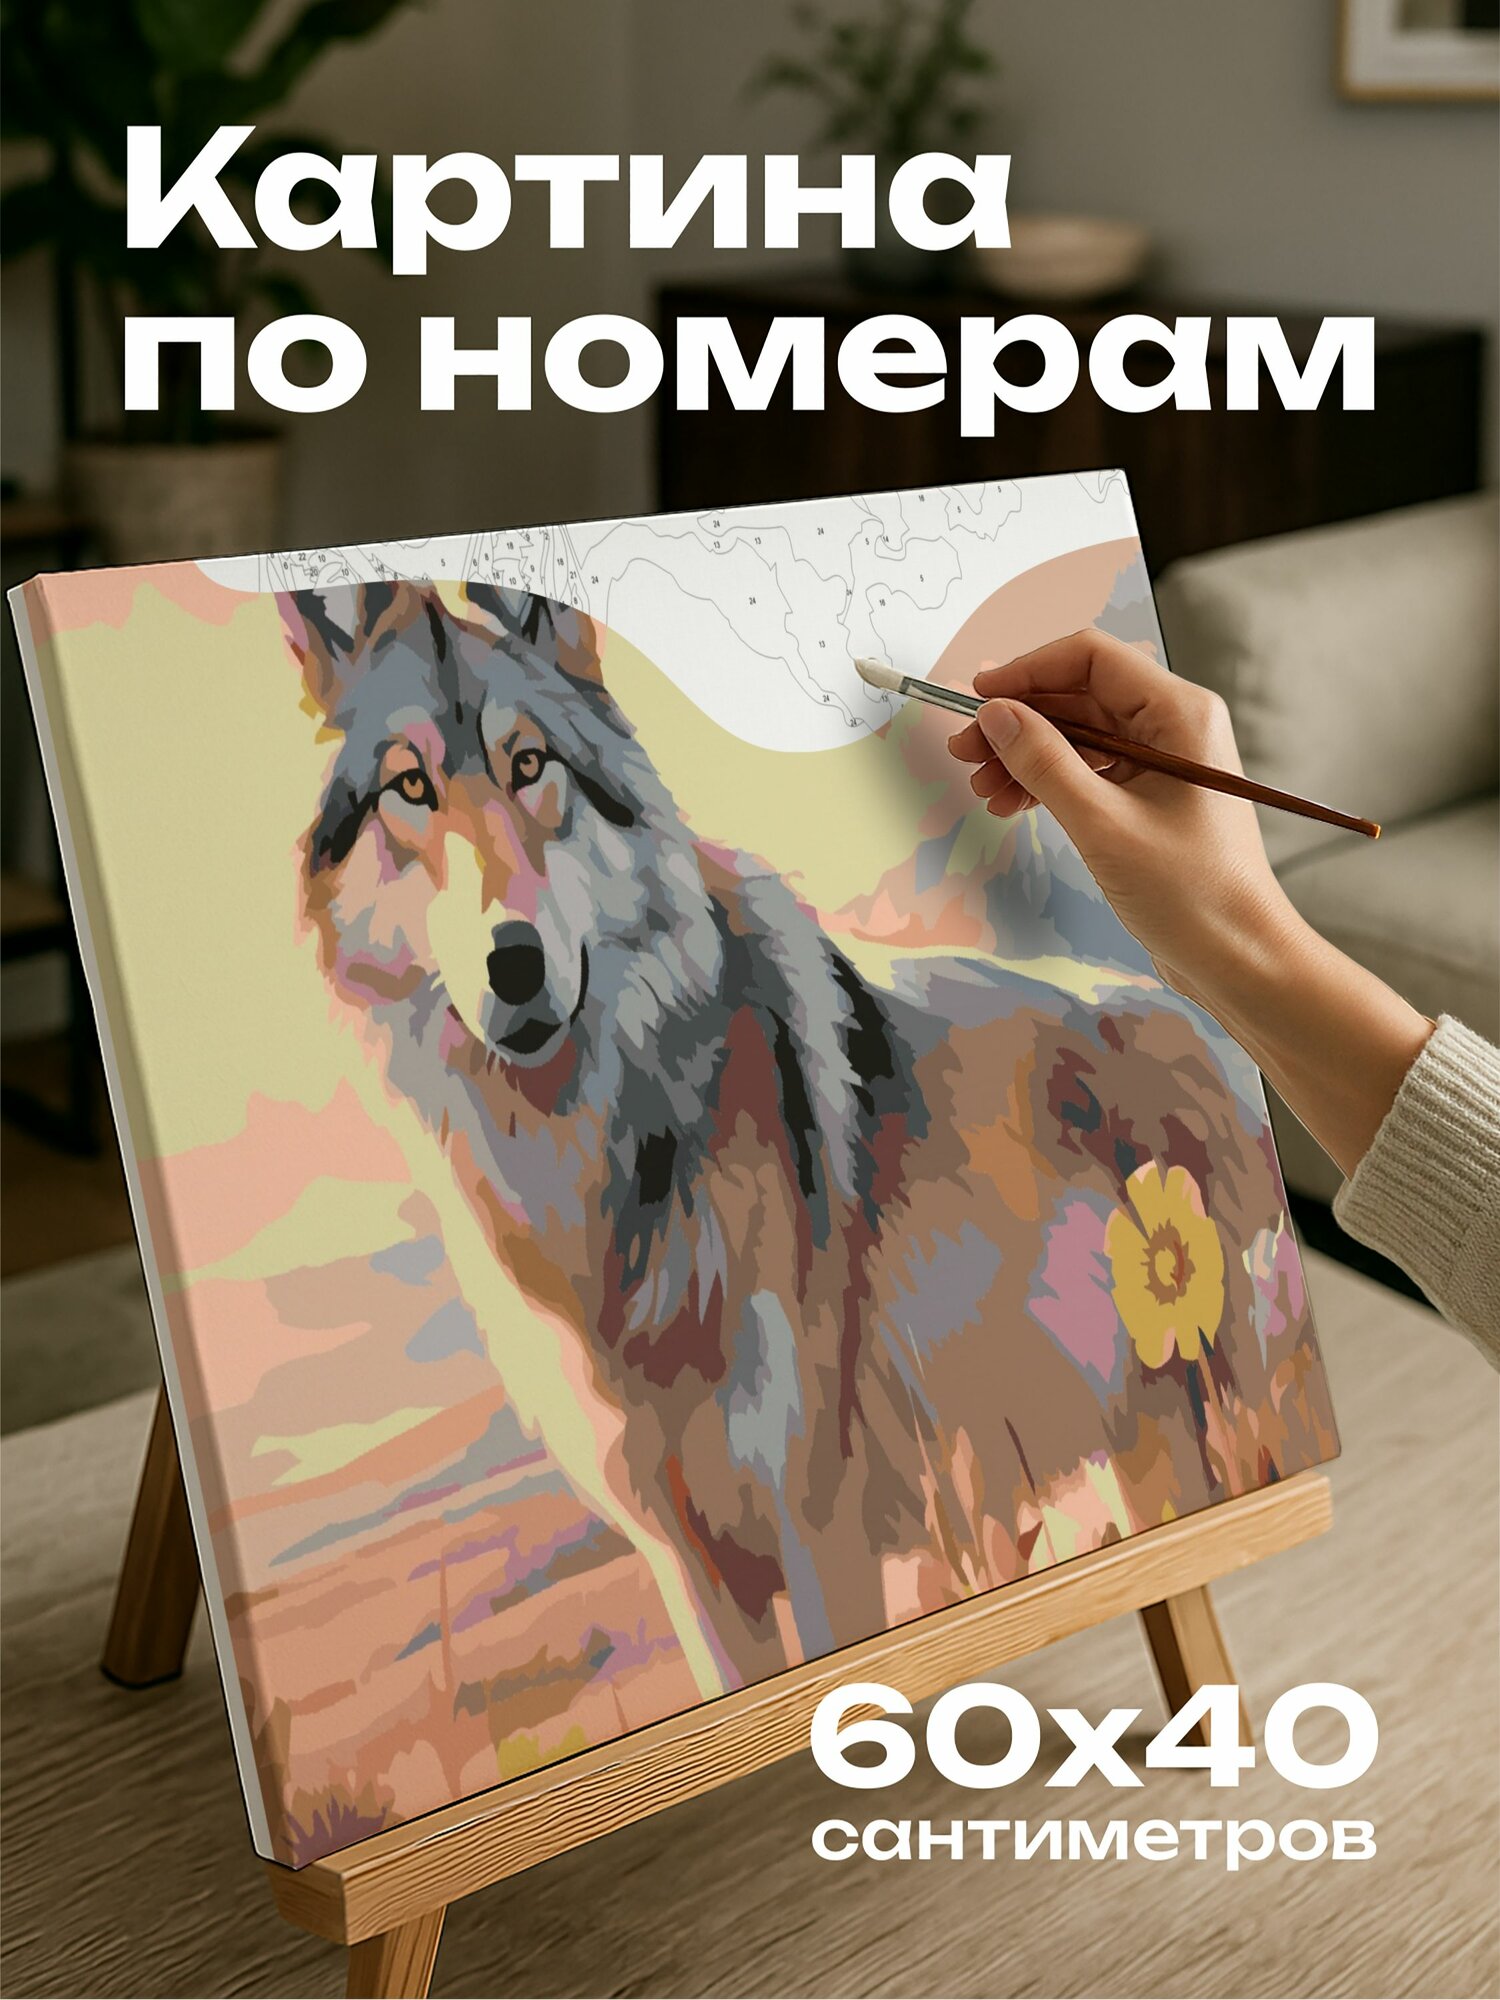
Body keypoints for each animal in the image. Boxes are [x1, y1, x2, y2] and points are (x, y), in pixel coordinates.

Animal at [285, 580, 1295, 1691]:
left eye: (529, 764)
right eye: (410, 786)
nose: (513, 965)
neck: (600, 1164)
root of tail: (1201, 1025)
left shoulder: (819, 1528)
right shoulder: (691, 1572)